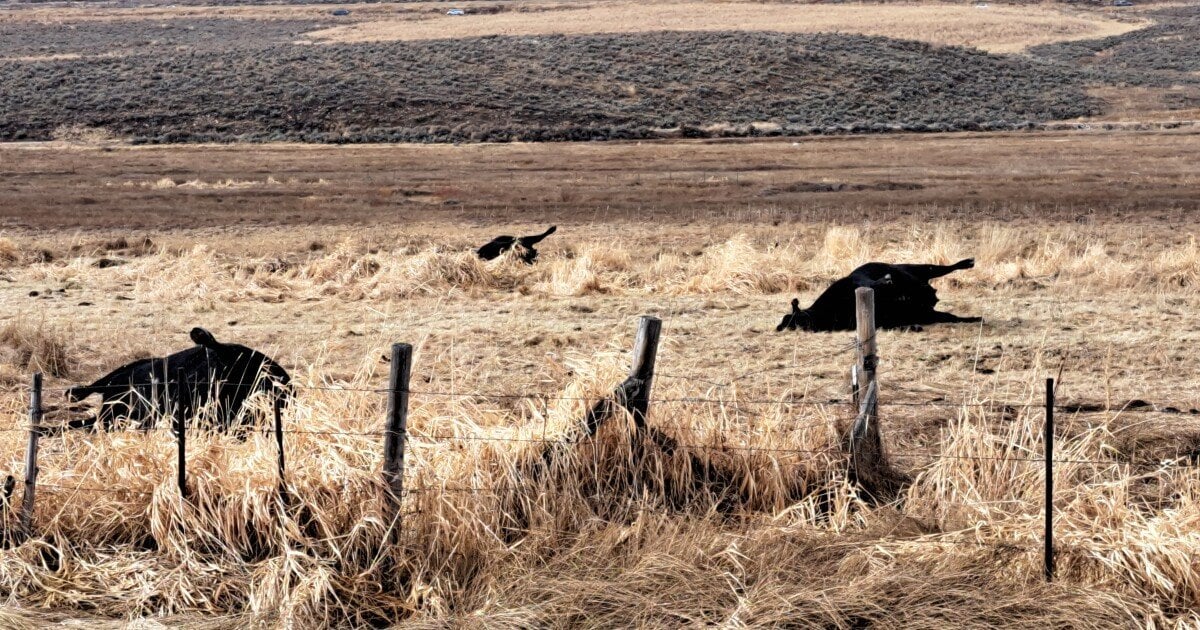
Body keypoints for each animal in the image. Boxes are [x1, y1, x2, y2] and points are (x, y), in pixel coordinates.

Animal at [777, 259, 981, 332]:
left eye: (796, 318)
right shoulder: (885, 320)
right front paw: (912, 327)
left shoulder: (859, 281)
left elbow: (875, 283)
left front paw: (887, 281)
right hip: (928, 311)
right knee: (952, 316)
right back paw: (975, 318)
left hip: (919, 268)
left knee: (944, 268)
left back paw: (967, 262)